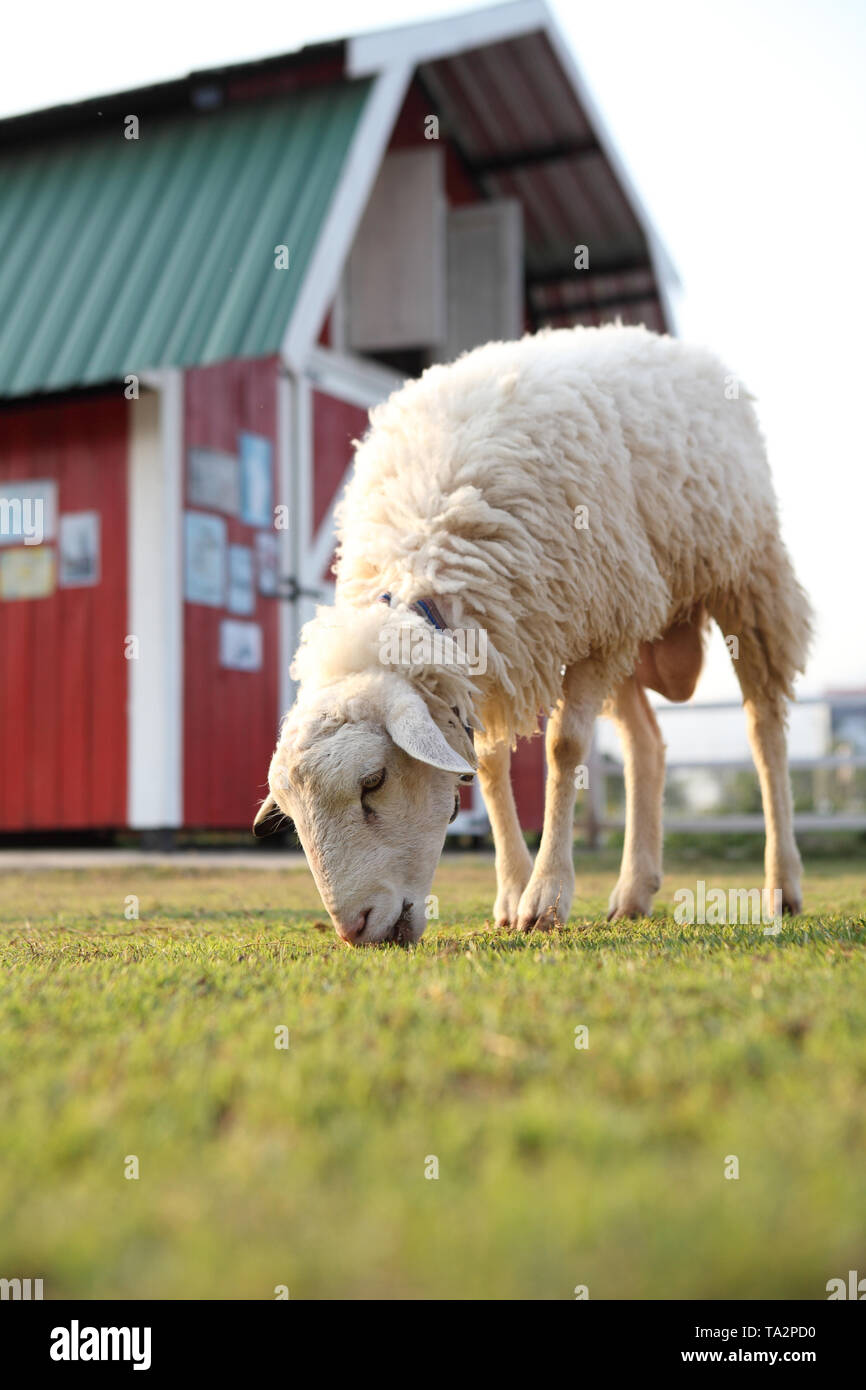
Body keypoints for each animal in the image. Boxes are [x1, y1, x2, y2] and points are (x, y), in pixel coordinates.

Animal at [255, 324, 812, 945]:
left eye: (373, 781)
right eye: (291, 813)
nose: (355, 929)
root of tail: (659, 340)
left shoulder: (586, 630)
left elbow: (564, 748)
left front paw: (545, 897)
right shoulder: (498, 650)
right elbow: (489, 766)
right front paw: (510, 893)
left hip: (744, 577)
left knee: (764, 730)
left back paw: (781, 886)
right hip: (630, 617)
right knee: (647, 744)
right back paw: (633, 891)